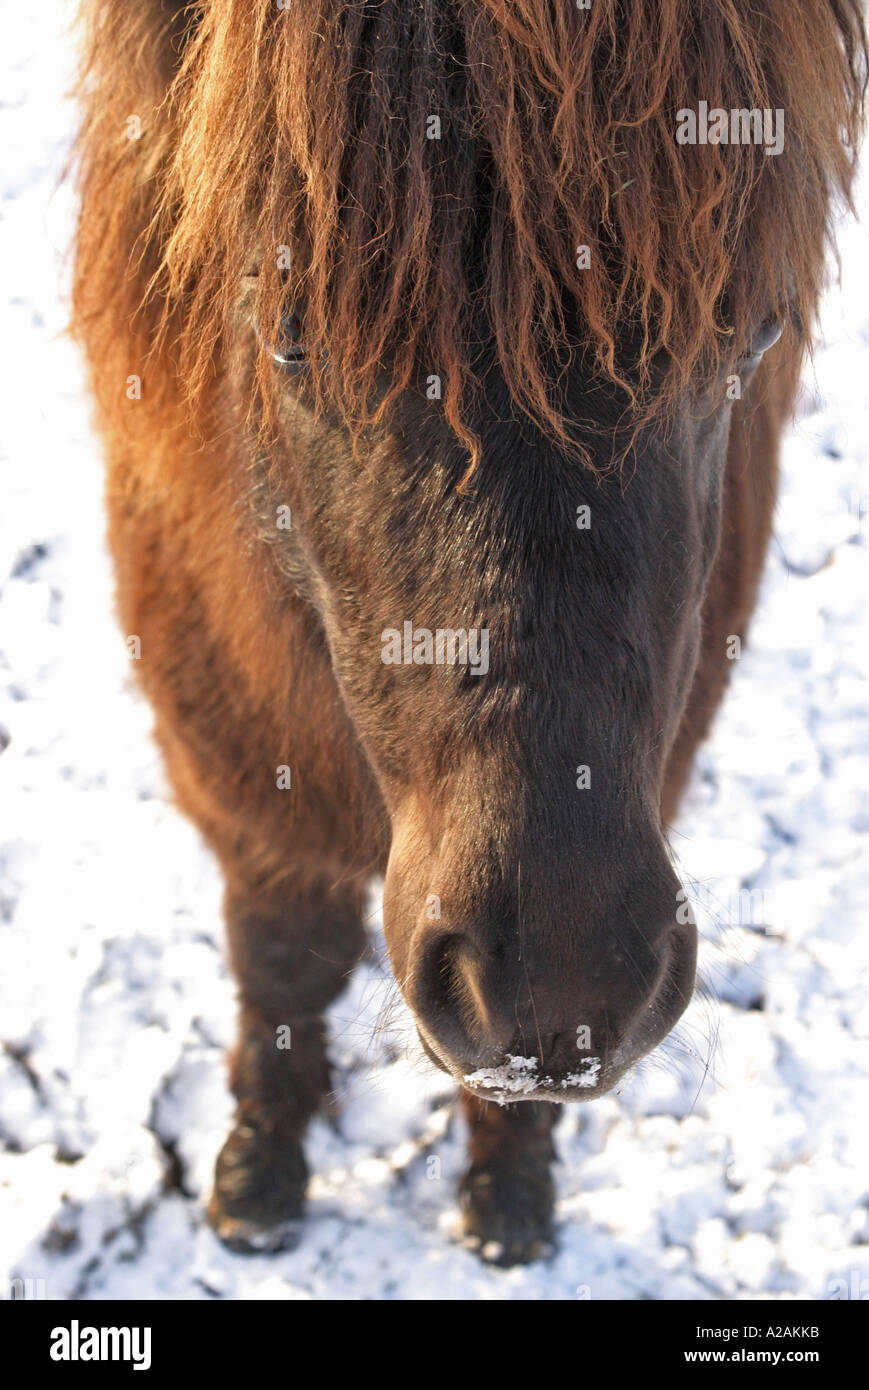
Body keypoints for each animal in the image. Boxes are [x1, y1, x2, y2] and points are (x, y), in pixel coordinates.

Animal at [72, 0, 866, 1265]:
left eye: (750, 340)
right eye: (290, 335)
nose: (559, 991)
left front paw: (507, 1190)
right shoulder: (233, 738)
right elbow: (285, 949)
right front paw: (258, 1173)